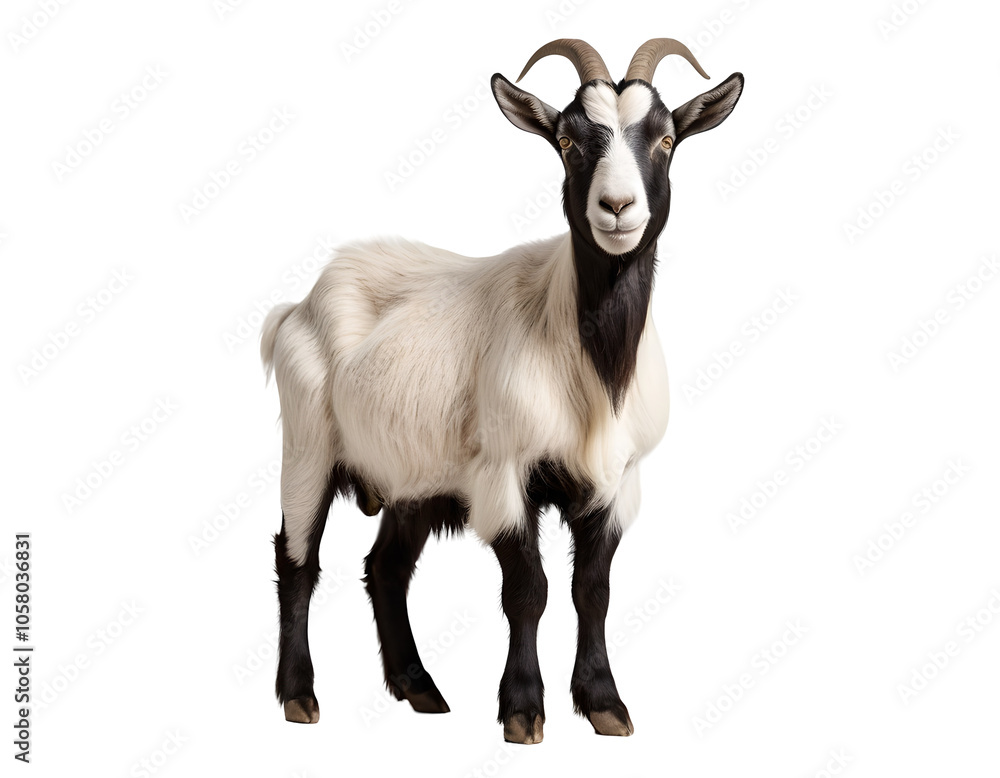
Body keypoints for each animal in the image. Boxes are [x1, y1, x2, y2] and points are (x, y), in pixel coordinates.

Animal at [261, 38, 743, 743]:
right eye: (568, 141)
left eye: (666, 139)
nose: (617, 208)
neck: (588, 363)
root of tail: (300, 304)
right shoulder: (504, 472)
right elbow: (529, 591)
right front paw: (522, 710)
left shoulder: (616, 482)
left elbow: (592, 590)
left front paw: (605, 704)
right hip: (307, 448)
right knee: (297, 560)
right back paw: (300, 696)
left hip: (413, 477)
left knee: (385, 571)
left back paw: (419, 688)